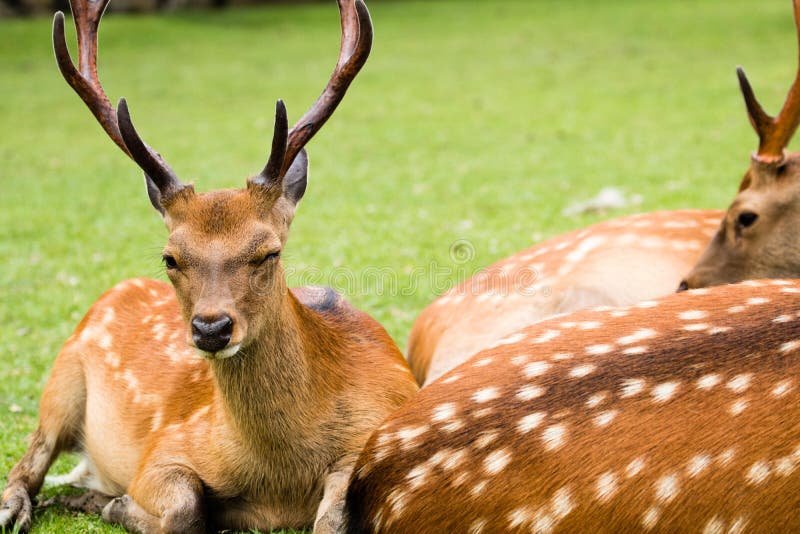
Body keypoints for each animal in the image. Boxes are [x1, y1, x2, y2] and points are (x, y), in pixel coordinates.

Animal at [0, 0, 419, 532]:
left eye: (268, 252)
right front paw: (117, 504)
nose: (211, 328)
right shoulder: (163, 449)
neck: (280, 476)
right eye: (171, 257)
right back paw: (27, 505)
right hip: (62, 378)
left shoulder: (371, 435)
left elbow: (331, 520)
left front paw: (108, 503)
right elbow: (185, 506)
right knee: (30, 461)